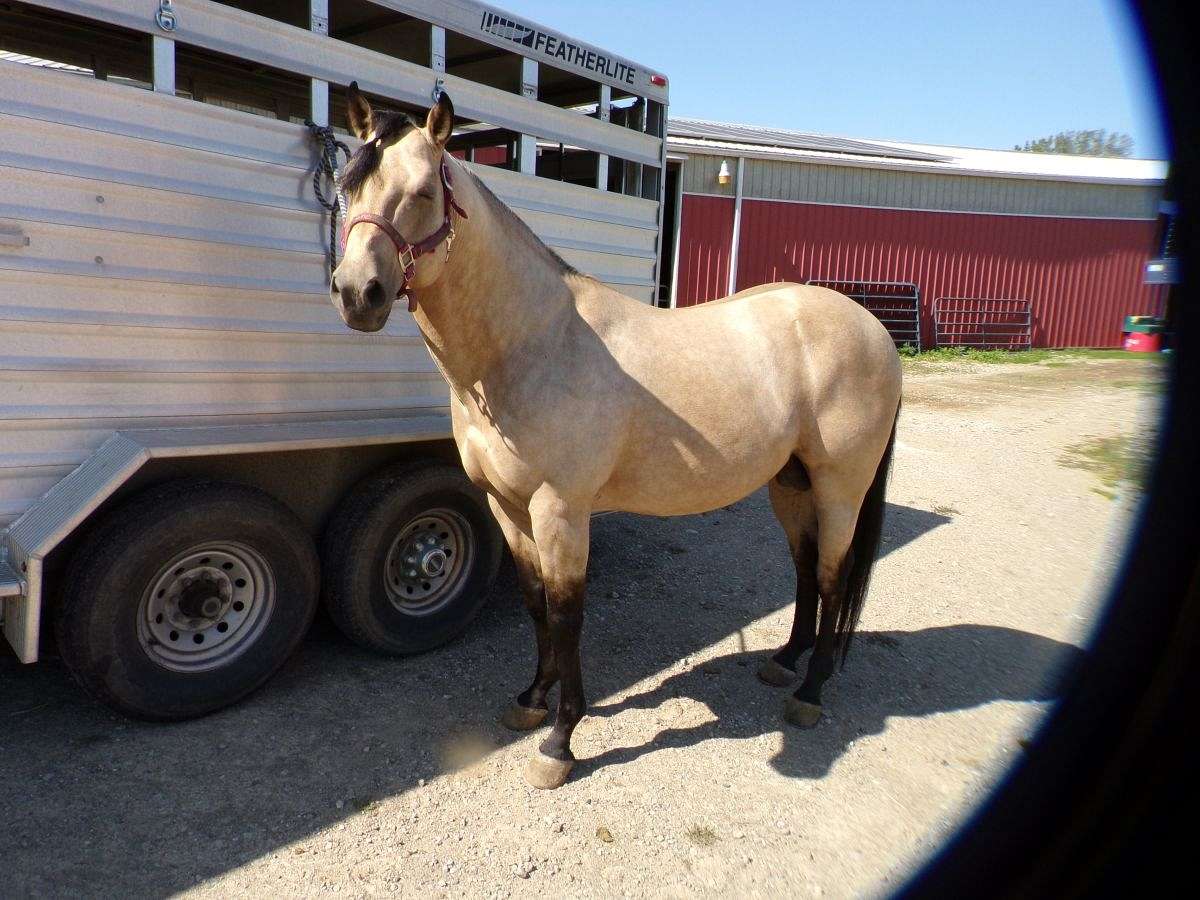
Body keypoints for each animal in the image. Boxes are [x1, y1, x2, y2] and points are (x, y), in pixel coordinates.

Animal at [329, 85, 903, 790]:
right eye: (348, 185)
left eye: (421, 191)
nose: (357, 294)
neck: (530, 345)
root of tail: (873, 329)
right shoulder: (506, 507)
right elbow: (535, 604)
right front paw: (532, 699)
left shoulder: (562, 510)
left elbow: (568, 613)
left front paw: (559, 741)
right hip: (790, 484)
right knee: (803, 570)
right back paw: (783, 661)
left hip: (839, 487)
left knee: (832, 576)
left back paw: (810, 693)